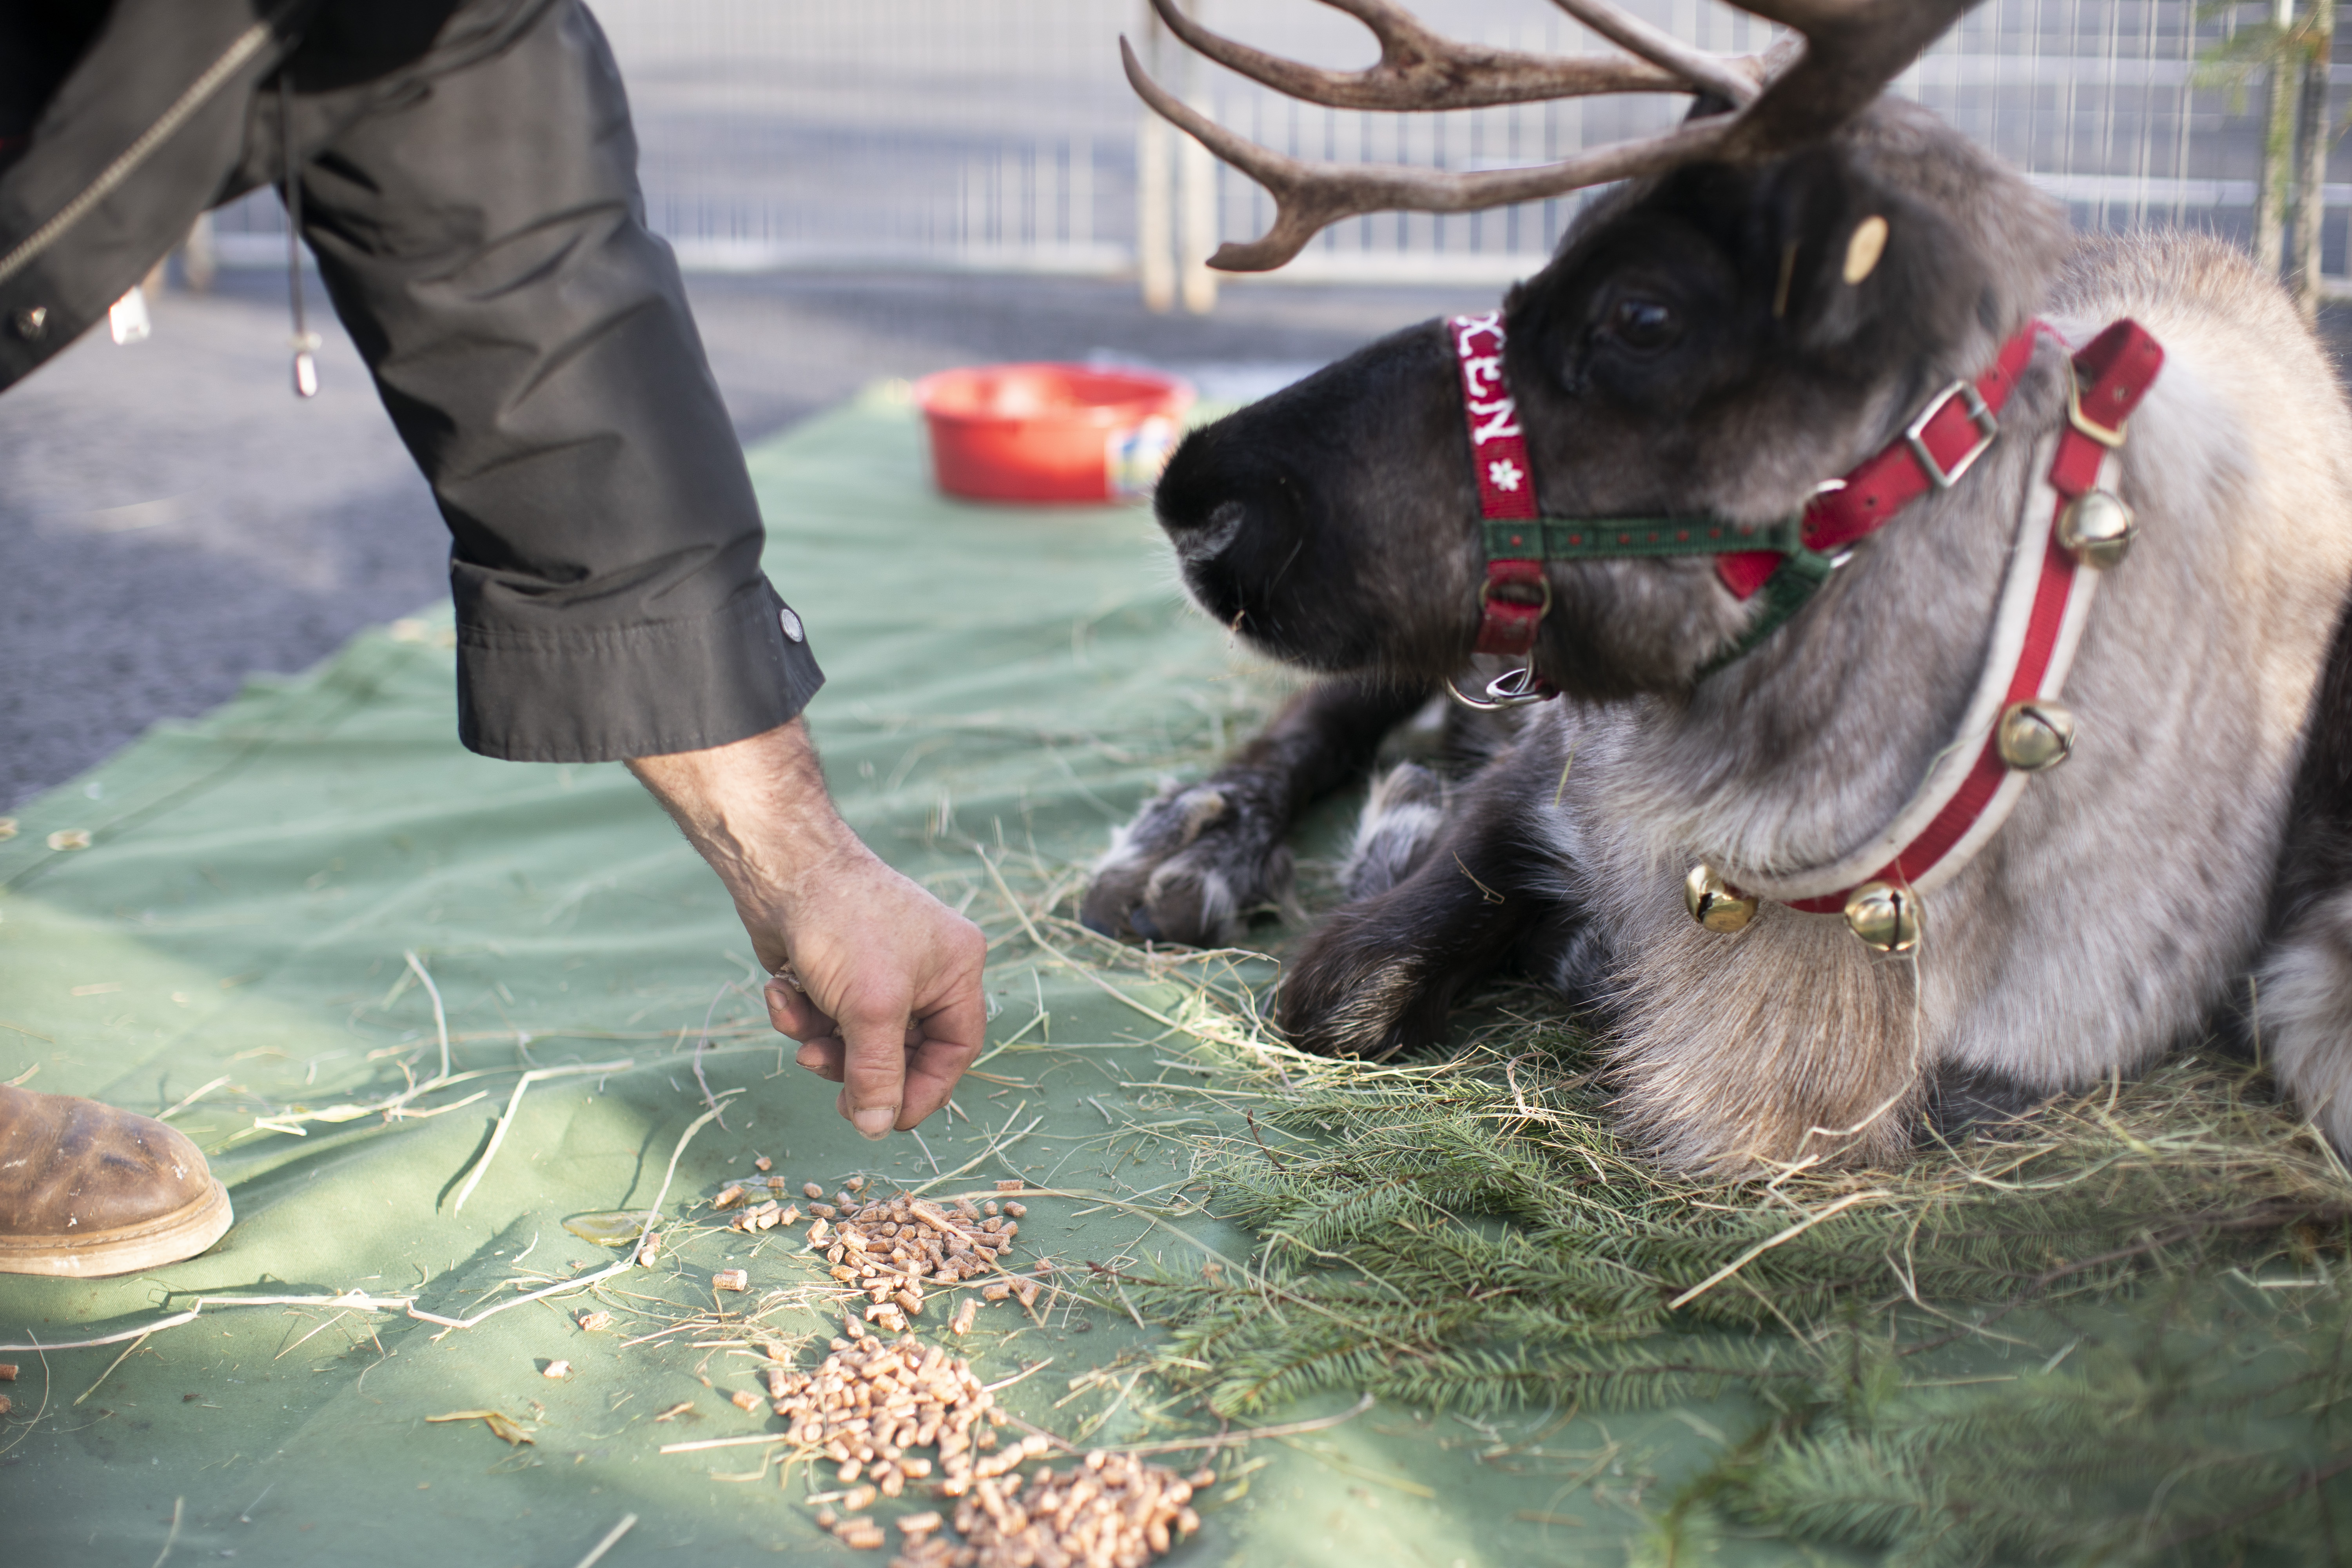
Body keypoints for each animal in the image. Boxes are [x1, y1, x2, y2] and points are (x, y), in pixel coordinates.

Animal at [1079, 0, 2352, 1172]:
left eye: (1642, 313)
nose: (1192, 495)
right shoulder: (1556, 773)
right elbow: (1348, 986)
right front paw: (1404, 844)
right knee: (1332, 711)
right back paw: (1191, 845)